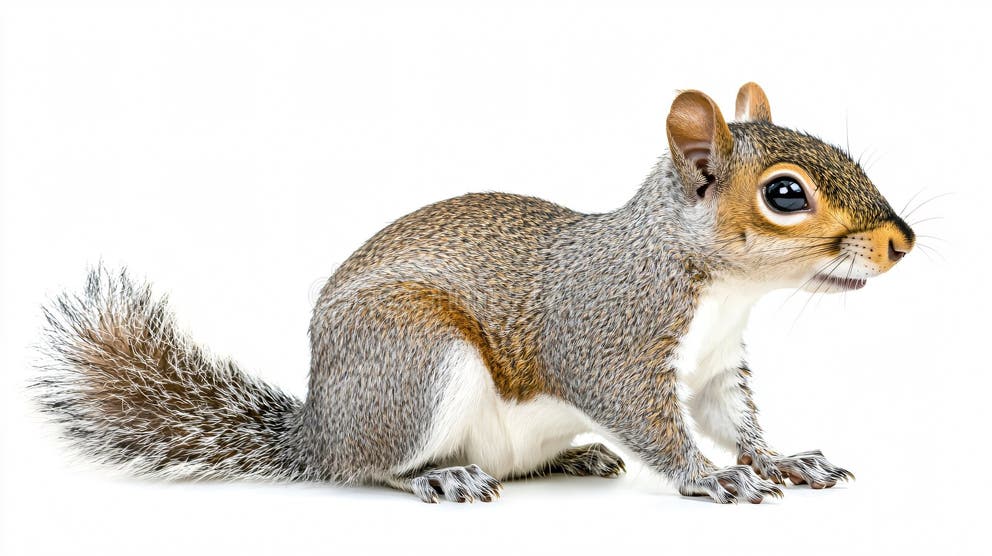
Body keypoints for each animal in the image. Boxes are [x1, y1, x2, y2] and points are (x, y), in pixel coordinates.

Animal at [33, 82, 914, 504]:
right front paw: (711, 477)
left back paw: (576, 457)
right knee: (368, 467)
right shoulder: (610, 338)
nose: (901, 243)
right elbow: (650, 420)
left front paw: (783, 459)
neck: (721, 287)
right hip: (415, 361)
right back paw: (436, 477)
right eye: (786, 194)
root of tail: (319, 430)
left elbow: (736, 421)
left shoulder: (715, 367)